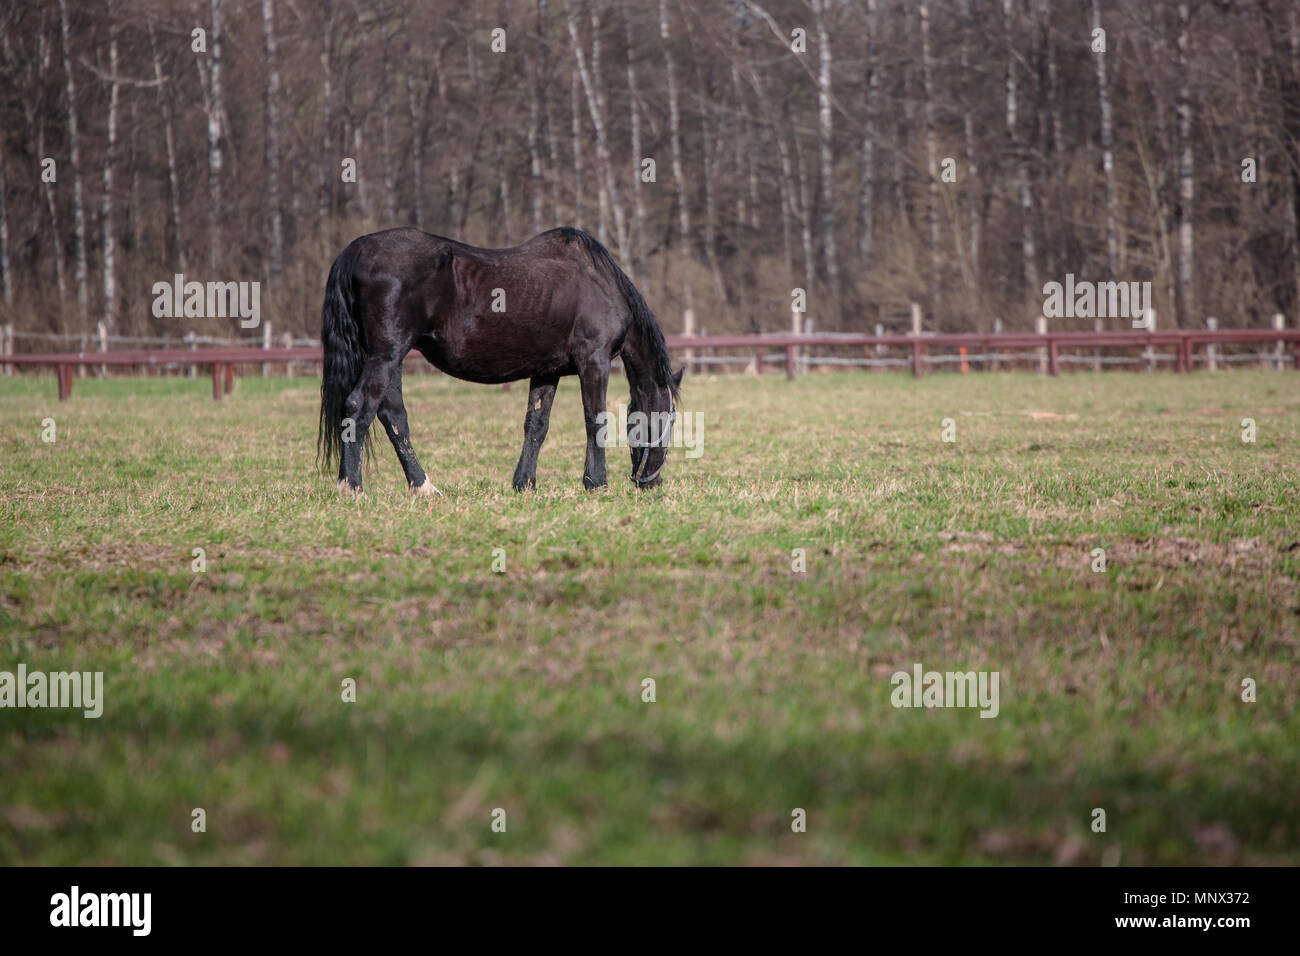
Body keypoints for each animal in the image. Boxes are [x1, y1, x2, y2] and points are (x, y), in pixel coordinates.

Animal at [316, 226, 683, 496]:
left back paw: (422, 487)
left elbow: (536, 425)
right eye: (668, 419)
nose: (652, 482)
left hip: (388, 359)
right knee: (359, 408)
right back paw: (353, 487)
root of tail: (356, 250)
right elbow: (595, 420)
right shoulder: (593, 362)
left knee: (393, 417)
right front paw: (596, 483)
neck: (600, 284)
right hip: (386, 356)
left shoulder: (547, 372)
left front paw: (525, 484)